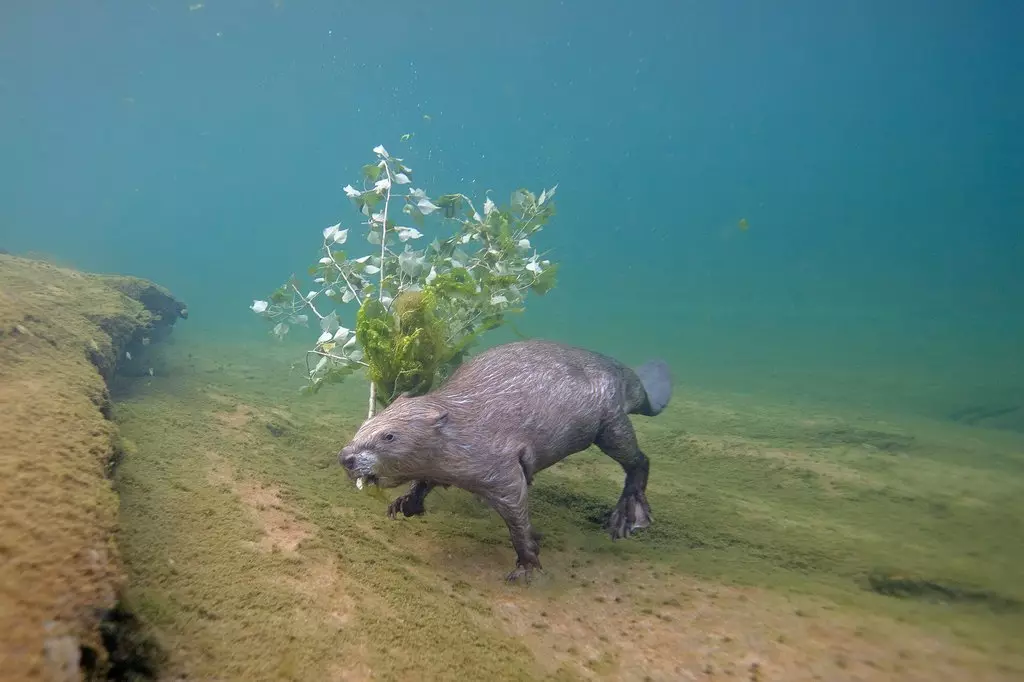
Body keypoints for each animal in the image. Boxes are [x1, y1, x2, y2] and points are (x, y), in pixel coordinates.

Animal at [335, 337, 671, 581]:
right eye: (365, 424)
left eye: (388, 436)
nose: (346, 457)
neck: (462, 421)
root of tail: (635, 382)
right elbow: (427, 480)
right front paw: (404, 504)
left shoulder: (498, 463)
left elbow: (516, 508)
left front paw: (527, 564)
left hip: (610, 424)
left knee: (638, 460)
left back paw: (628, 518)